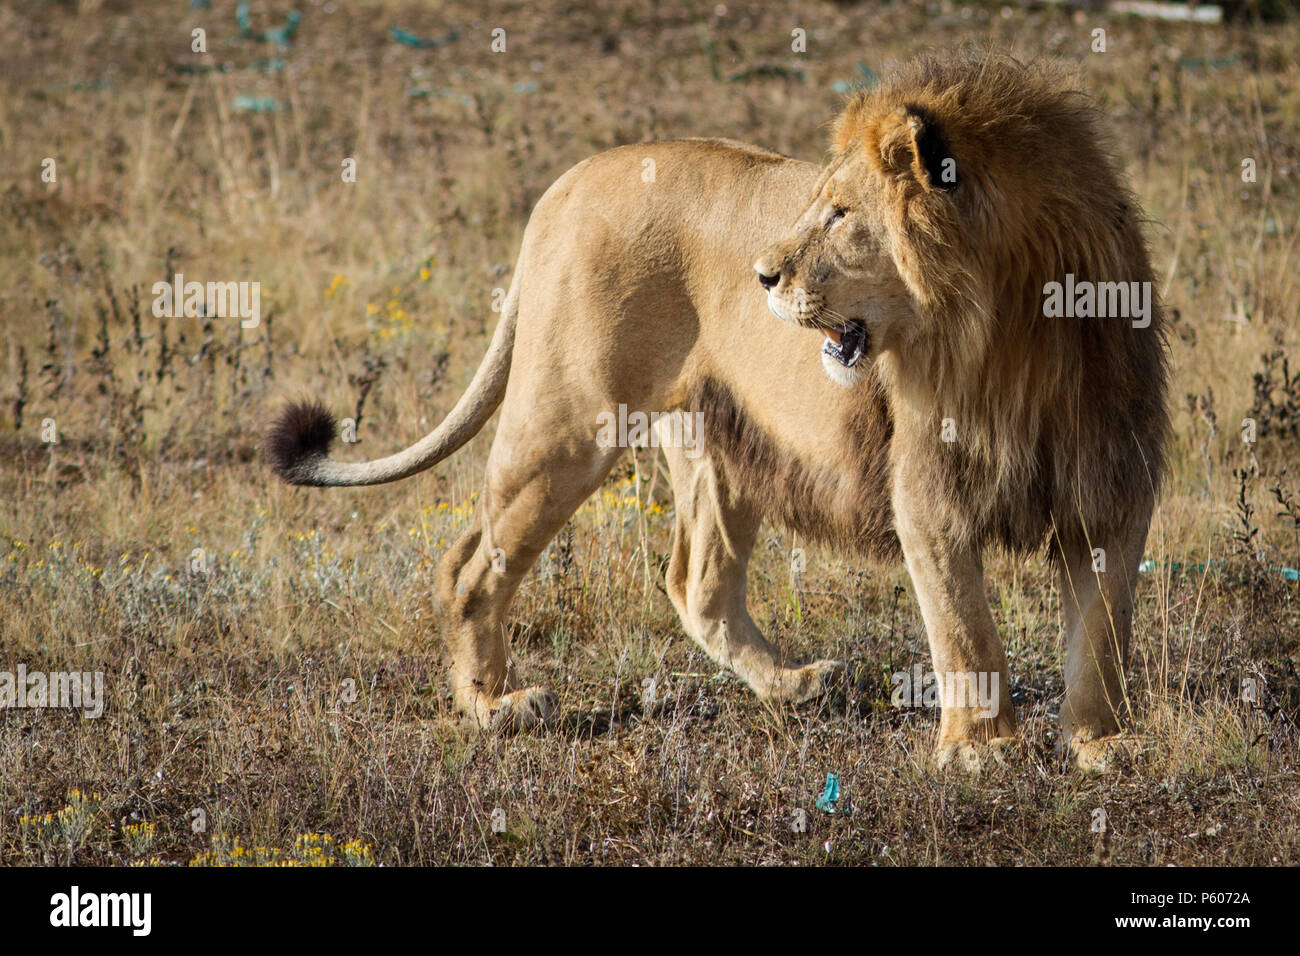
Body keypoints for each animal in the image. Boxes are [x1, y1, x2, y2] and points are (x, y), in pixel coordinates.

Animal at [268, 52, 1168, 771]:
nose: (763, 276)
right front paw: (982, 752)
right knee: (468, 565)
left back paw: (795, 687)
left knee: (696, 583)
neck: (1009, 335)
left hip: (715, 445)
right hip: (568, 423)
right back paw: (496, 707)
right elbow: (964, 627)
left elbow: (1104, 635)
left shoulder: (1112, 482)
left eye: (841, 214)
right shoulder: (928, 489)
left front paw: (1102, 744)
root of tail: (568, 179)